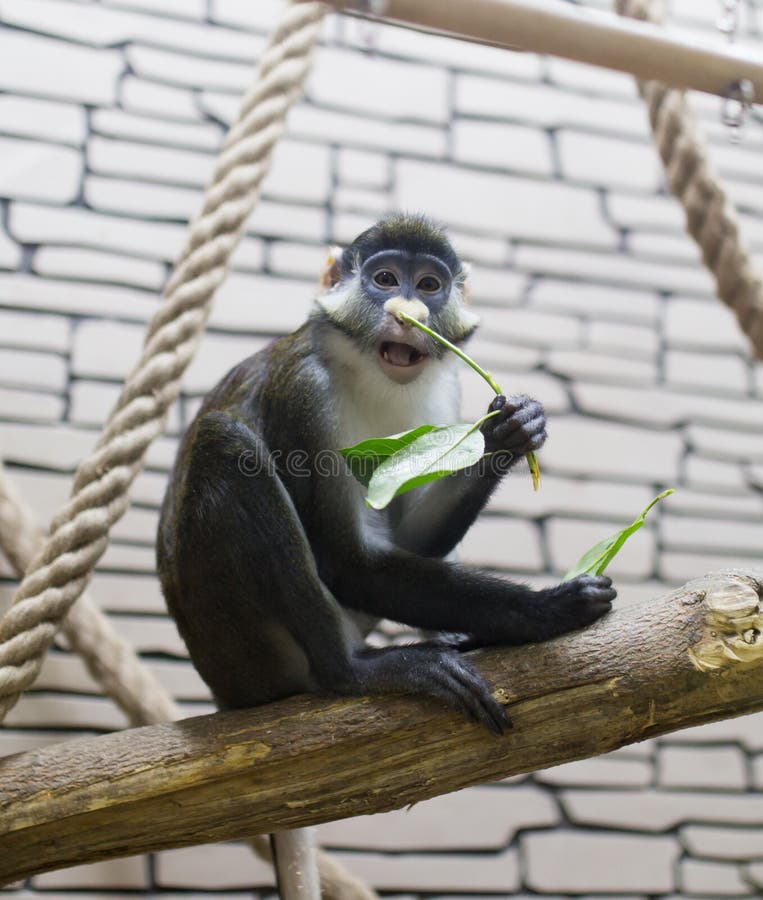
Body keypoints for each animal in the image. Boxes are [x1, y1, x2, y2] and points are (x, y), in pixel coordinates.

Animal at [157, 213, 615, 737]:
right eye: (385, 280)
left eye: (429, 285)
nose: (406, 312)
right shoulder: (304, 389)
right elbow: (347, 560)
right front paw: (549, 608)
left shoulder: (445, 388)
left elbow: (408, 541)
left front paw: (511, 429)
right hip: (249, 653)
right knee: (226, 444)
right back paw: (353, 671)